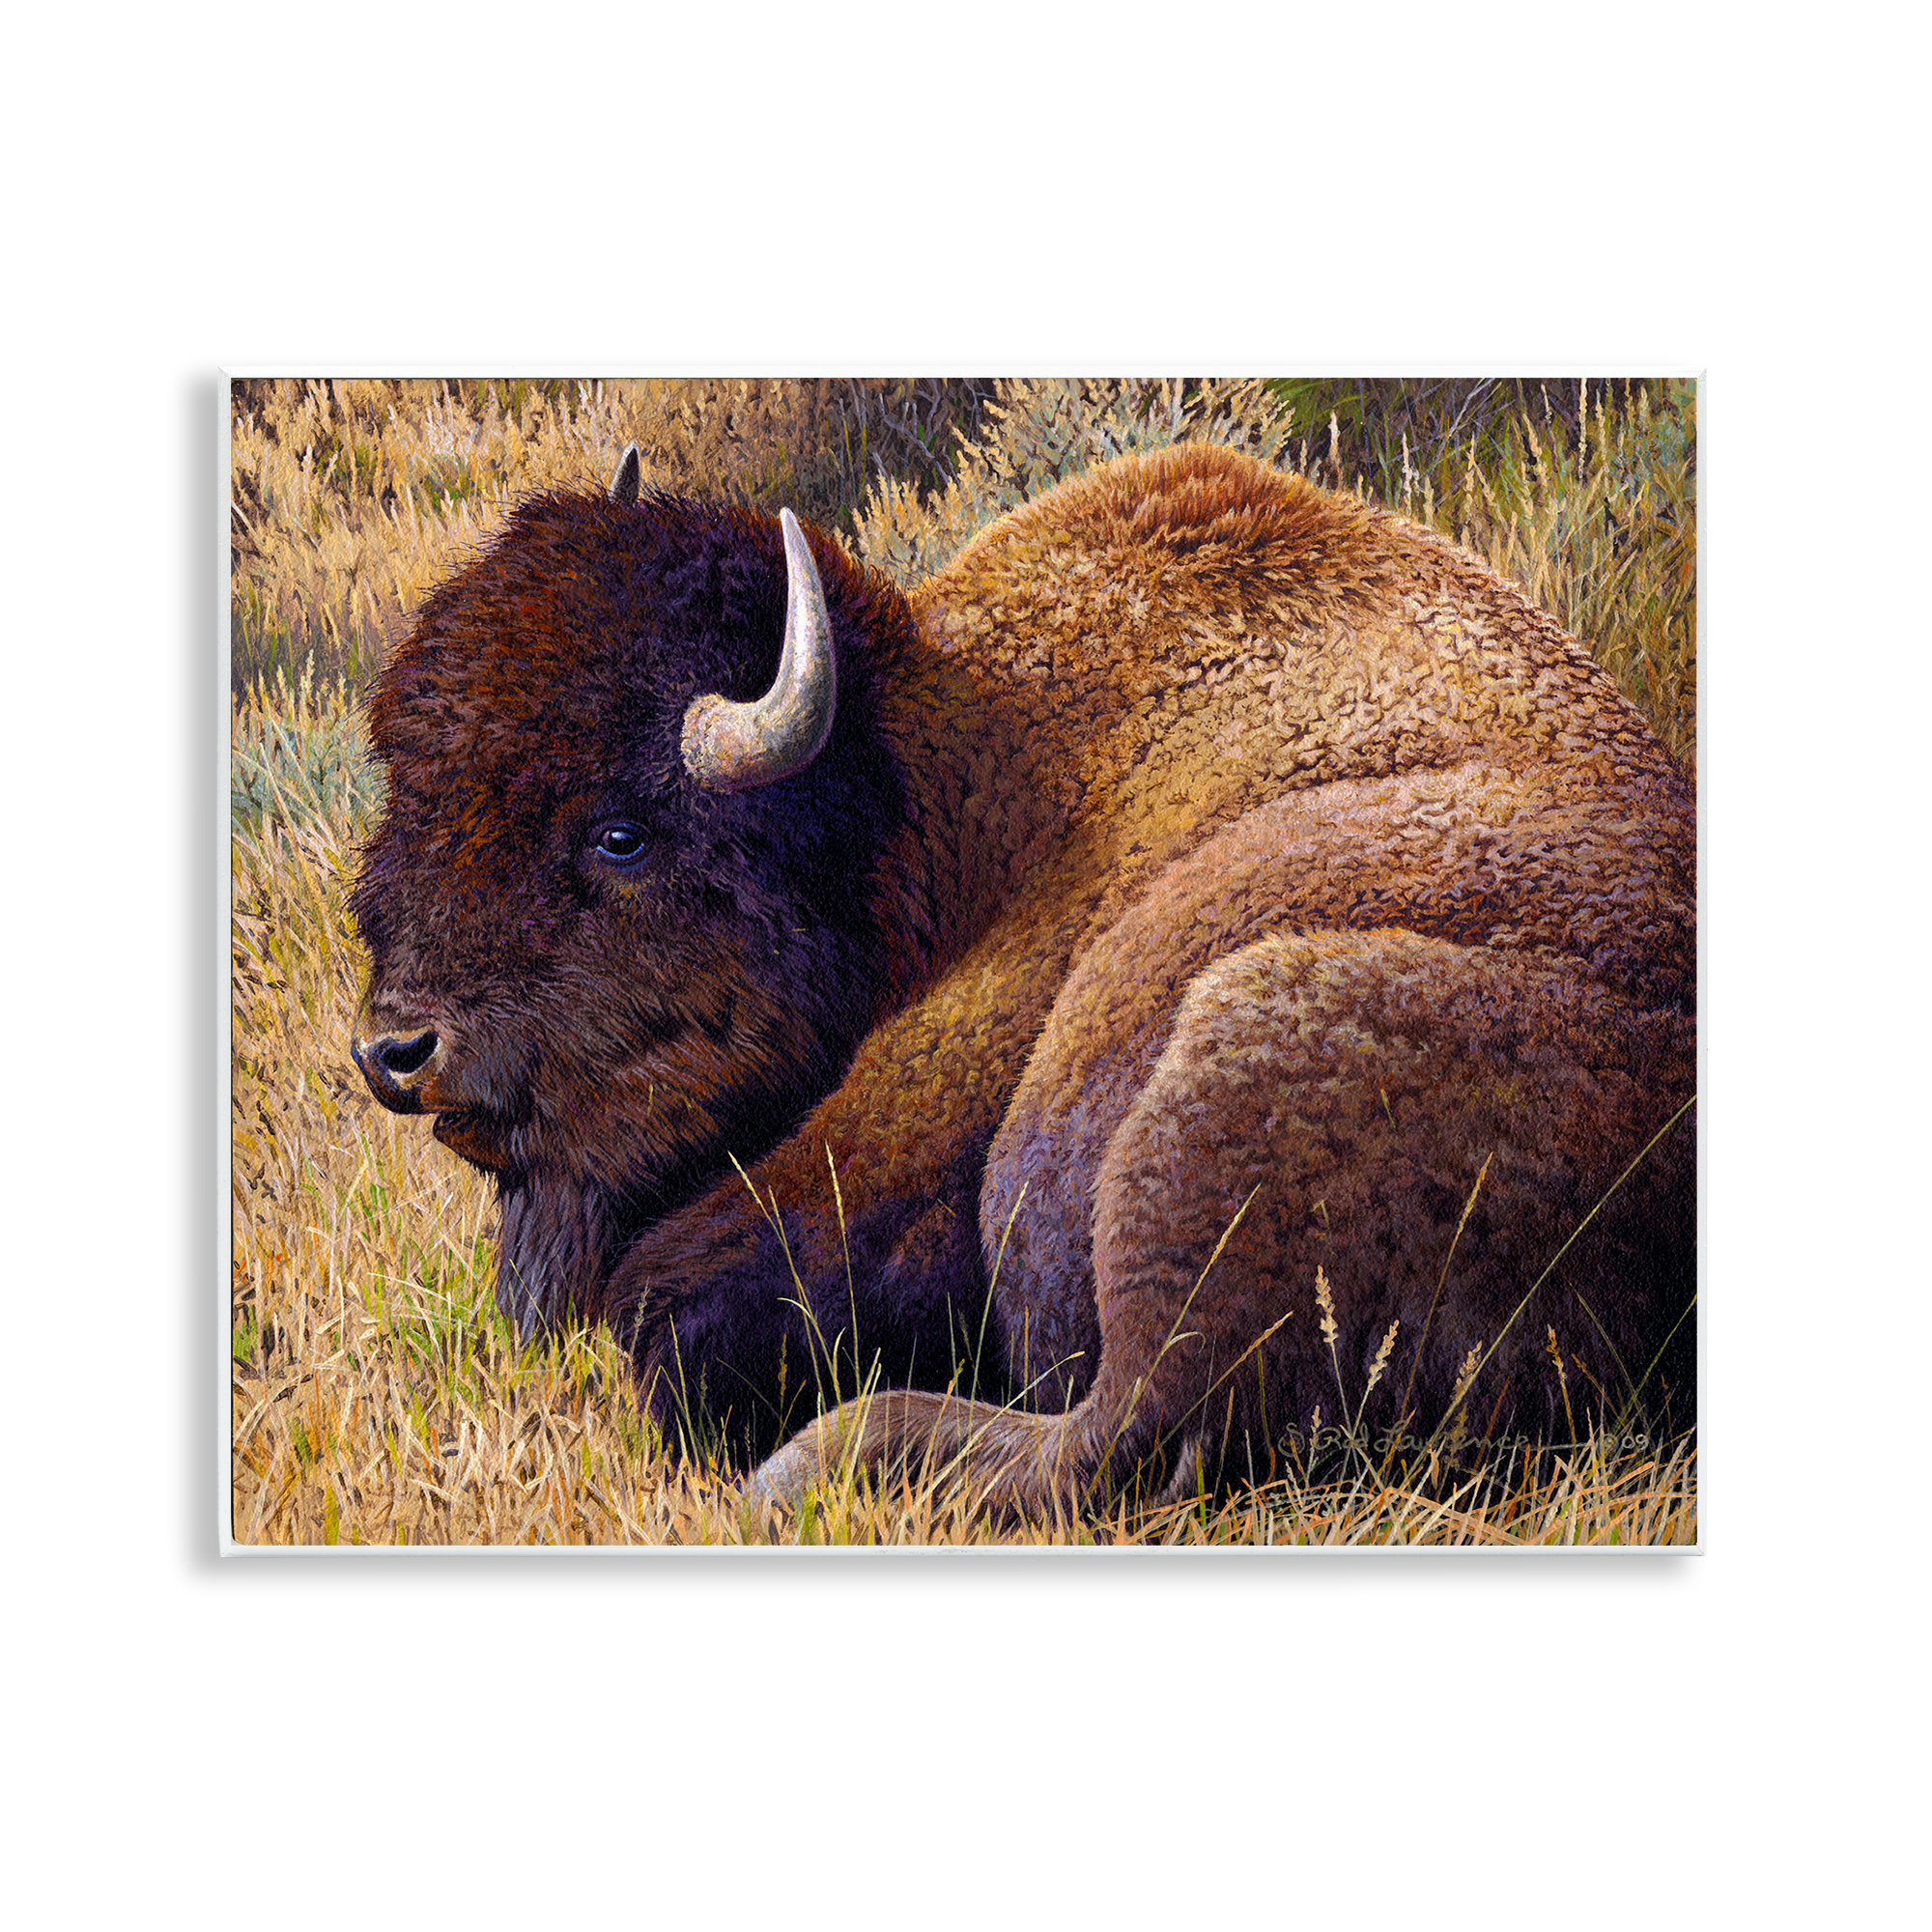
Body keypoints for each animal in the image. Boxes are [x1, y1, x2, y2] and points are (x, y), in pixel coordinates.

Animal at [351, 439, 1695, 1514]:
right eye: (409, 787)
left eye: (621, 834)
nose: (393, 1052)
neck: (942, 796)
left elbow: (668, 1304)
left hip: (1231, 1053)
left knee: (1107, 1436)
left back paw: (791, 1472)